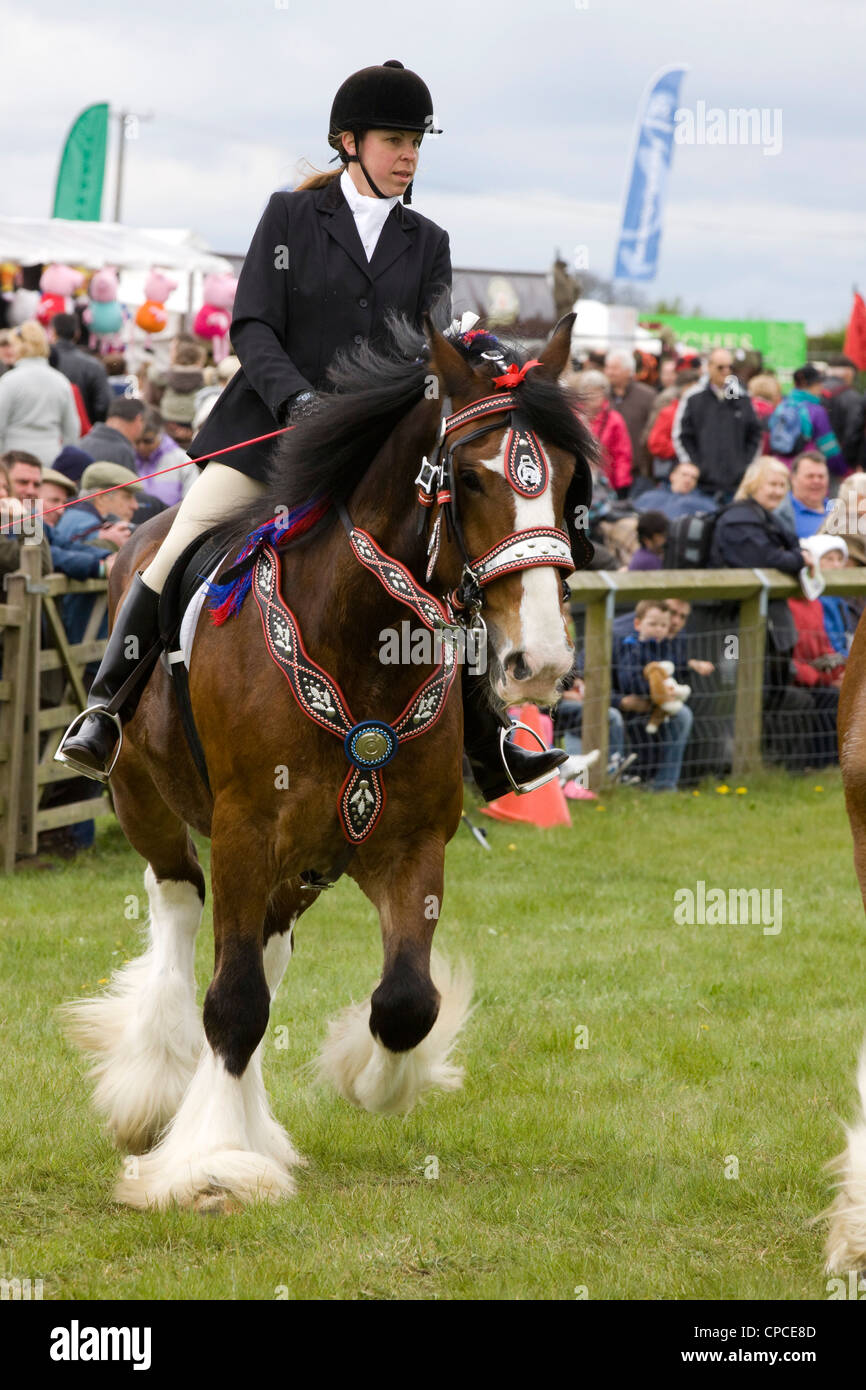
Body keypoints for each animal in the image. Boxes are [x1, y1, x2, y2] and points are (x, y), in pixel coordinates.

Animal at [60, 311, 595, 1211]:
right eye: (469, 479)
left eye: (564, 482)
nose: (542, 660)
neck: (360, 644)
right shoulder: (245, 830)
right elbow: (234, 1001)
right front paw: (212, 1162)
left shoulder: (409, 845)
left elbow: (406, 1003)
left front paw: (366, 1079)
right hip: (148, 801)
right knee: (178, 906)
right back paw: (155, 1090)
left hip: (306, 858)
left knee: (267, 950)